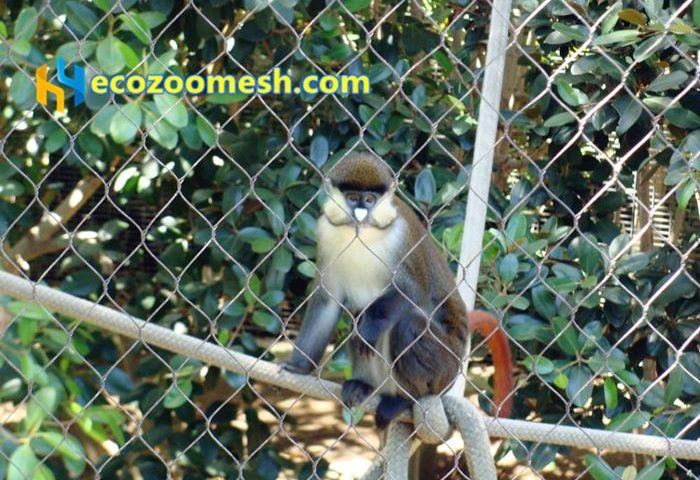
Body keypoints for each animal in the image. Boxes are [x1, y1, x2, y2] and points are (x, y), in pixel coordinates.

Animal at [283, 151, 513, 427]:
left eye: (370, 200)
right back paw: (363, 385)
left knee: (408, 324)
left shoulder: (402, 236)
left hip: (445, 368)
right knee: (358, 316)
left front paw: (369, 330)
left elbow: (412, 293)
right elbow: (327, 302)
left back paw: (405, 399)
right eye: (352, 198)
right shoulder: (327, 233)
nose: (360, 213)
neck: (361, 234)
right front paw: (298, 366)